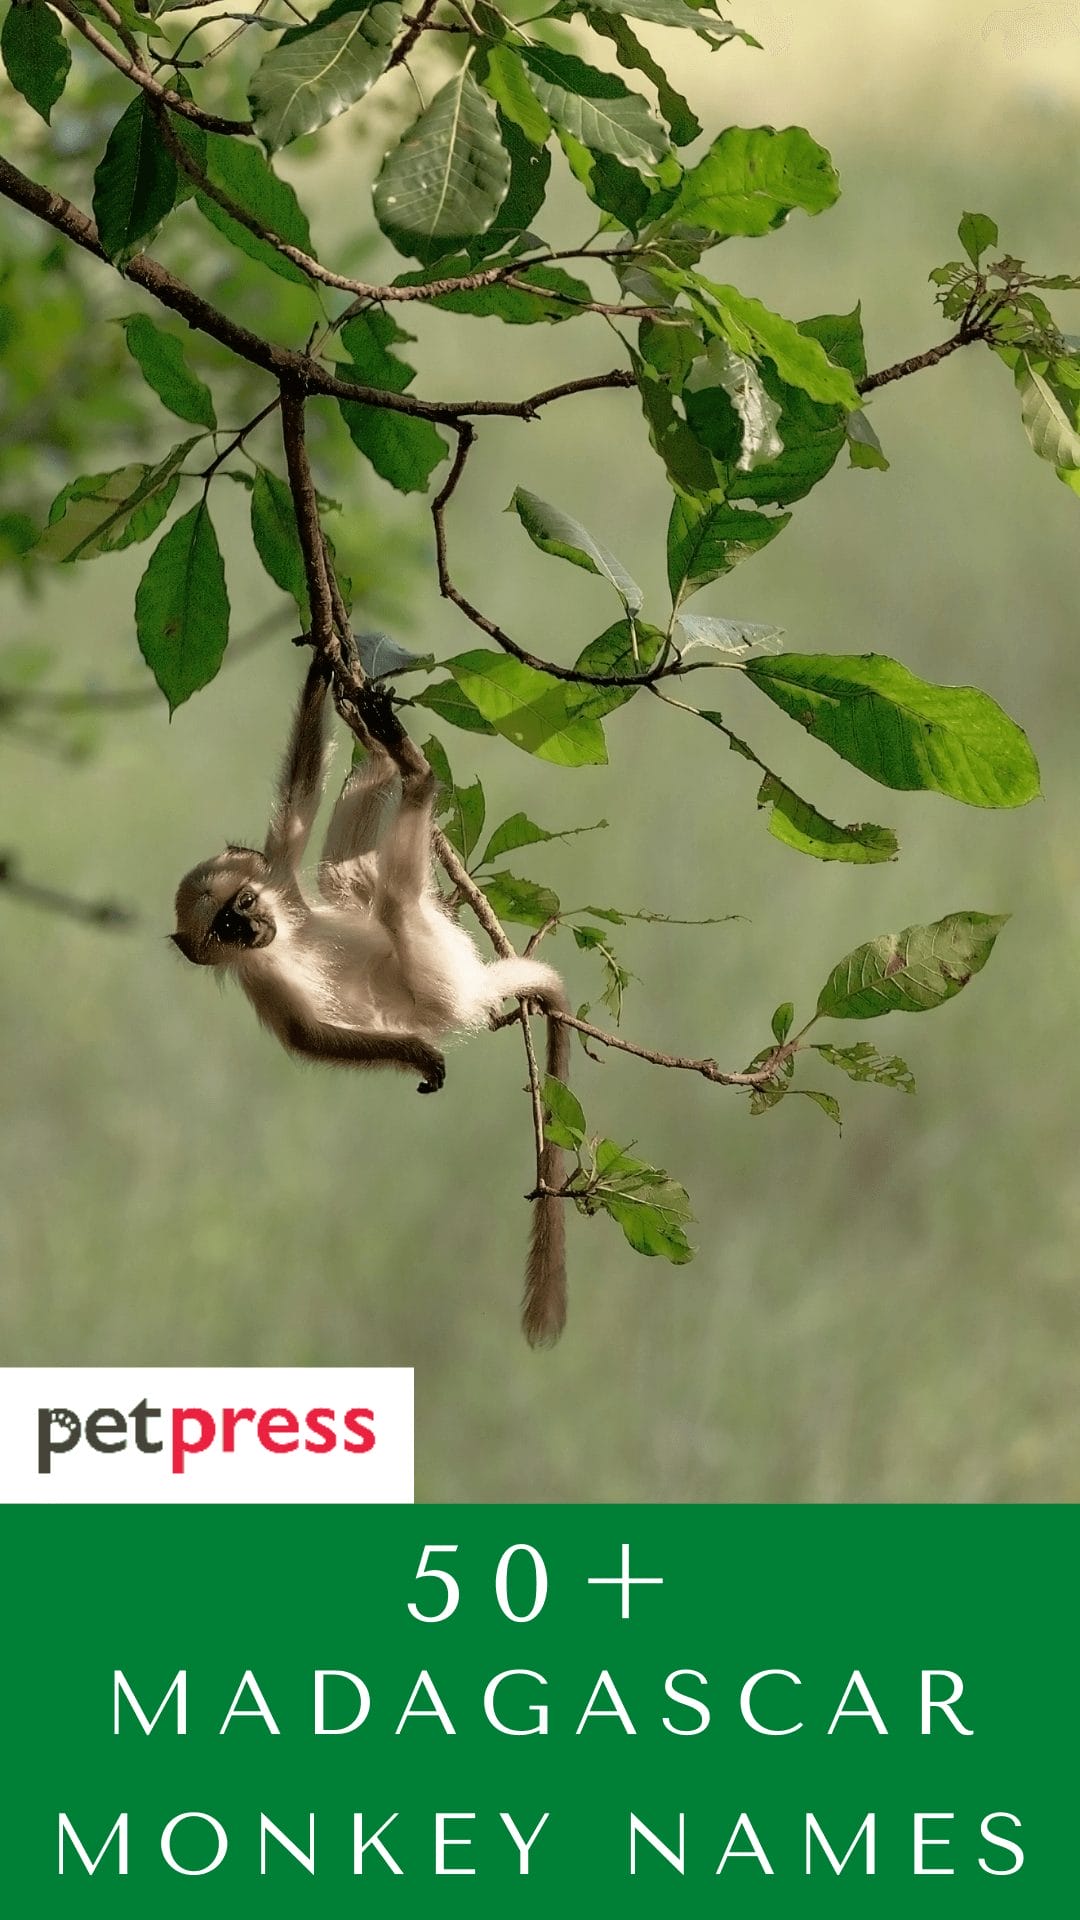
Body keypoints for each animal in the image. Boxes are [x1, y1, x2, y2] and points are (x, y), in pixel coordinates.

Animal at [171, 659, 571, 1345]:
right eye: (223, 928)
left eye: (242, 903)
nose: (250, 927)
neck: (282, 933)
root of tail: (475, 984)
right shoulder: (260, 978)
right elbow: (306, 1037)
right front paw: (417, 1056)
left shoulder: (279, 883)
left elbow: (295, 811)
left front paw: (320, 666)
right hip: (437, 971)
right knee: (390, 902)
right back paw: (415, 777)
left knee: (345, 876)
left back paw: (382, 748)